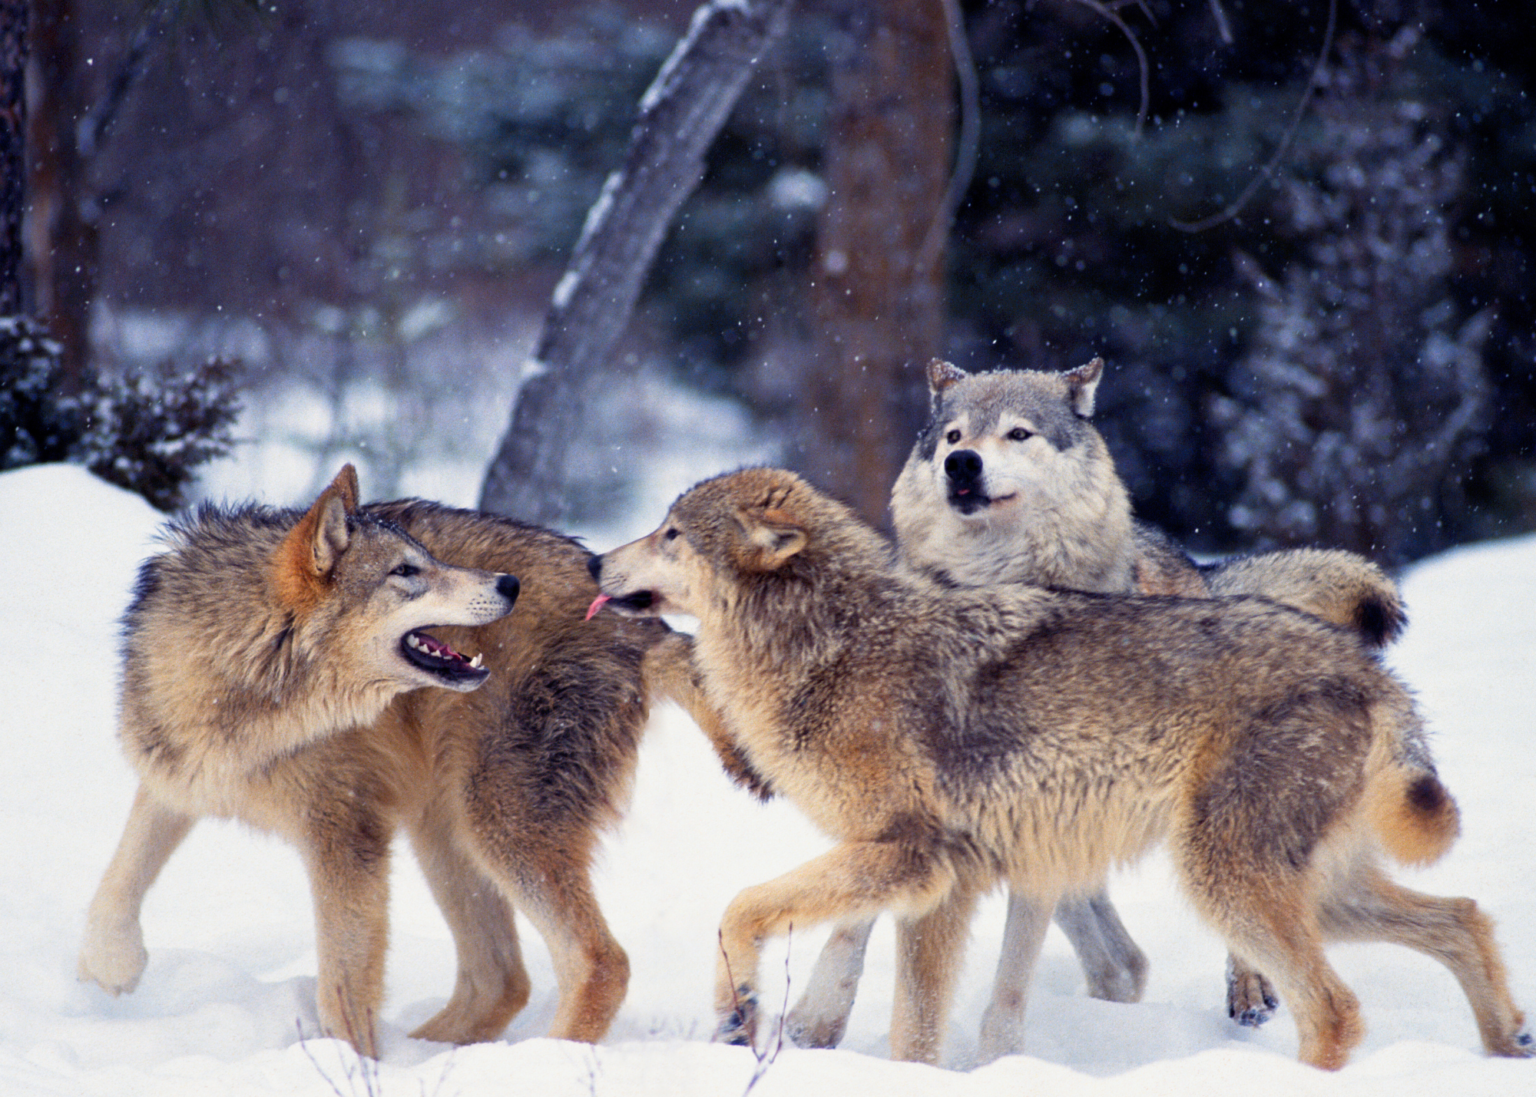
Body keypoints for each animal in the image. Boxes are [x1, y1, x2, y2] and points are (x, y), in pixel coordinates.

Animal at [78, 465, 687, 1057]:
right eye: (406, 571)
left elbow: (342, 986)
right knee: (502, 981)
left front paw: (349, 1065)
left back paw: (538, 1062)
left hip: (497, 824)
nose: (509, 583)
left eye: (427, 561)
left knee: (600, 963)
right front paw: (110, 967)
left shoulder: (348, 832)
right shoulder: (180, 776)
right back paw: (426, 1054)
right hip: (445, 835)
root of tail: (636, 622)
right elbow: (117, 879)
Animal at [587, 467, 1532, 1070]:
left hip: (1231, 884)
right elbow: (813, 948)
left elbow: (756, 915)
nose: (594, 560)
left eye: (670, 533)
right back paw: (1504, 1047)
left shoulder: (926, 863)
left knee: (1334, 1008)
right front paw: (747, 1015)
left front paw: (745, 1011)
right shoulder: (936, 874)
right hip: (1314, 893)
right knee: (1462, 918)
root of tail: (1373, 673)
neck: (833, 644)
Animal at [780, 356, 1410, 1058]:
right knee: (1119, 952)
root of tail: (1193, 567)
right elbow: (853, 922)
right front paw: (814, 1022)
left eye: (1018, 433)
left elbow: (1006, 973)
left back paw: (1246, 991)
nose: (962, 463)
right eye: (952, 435)